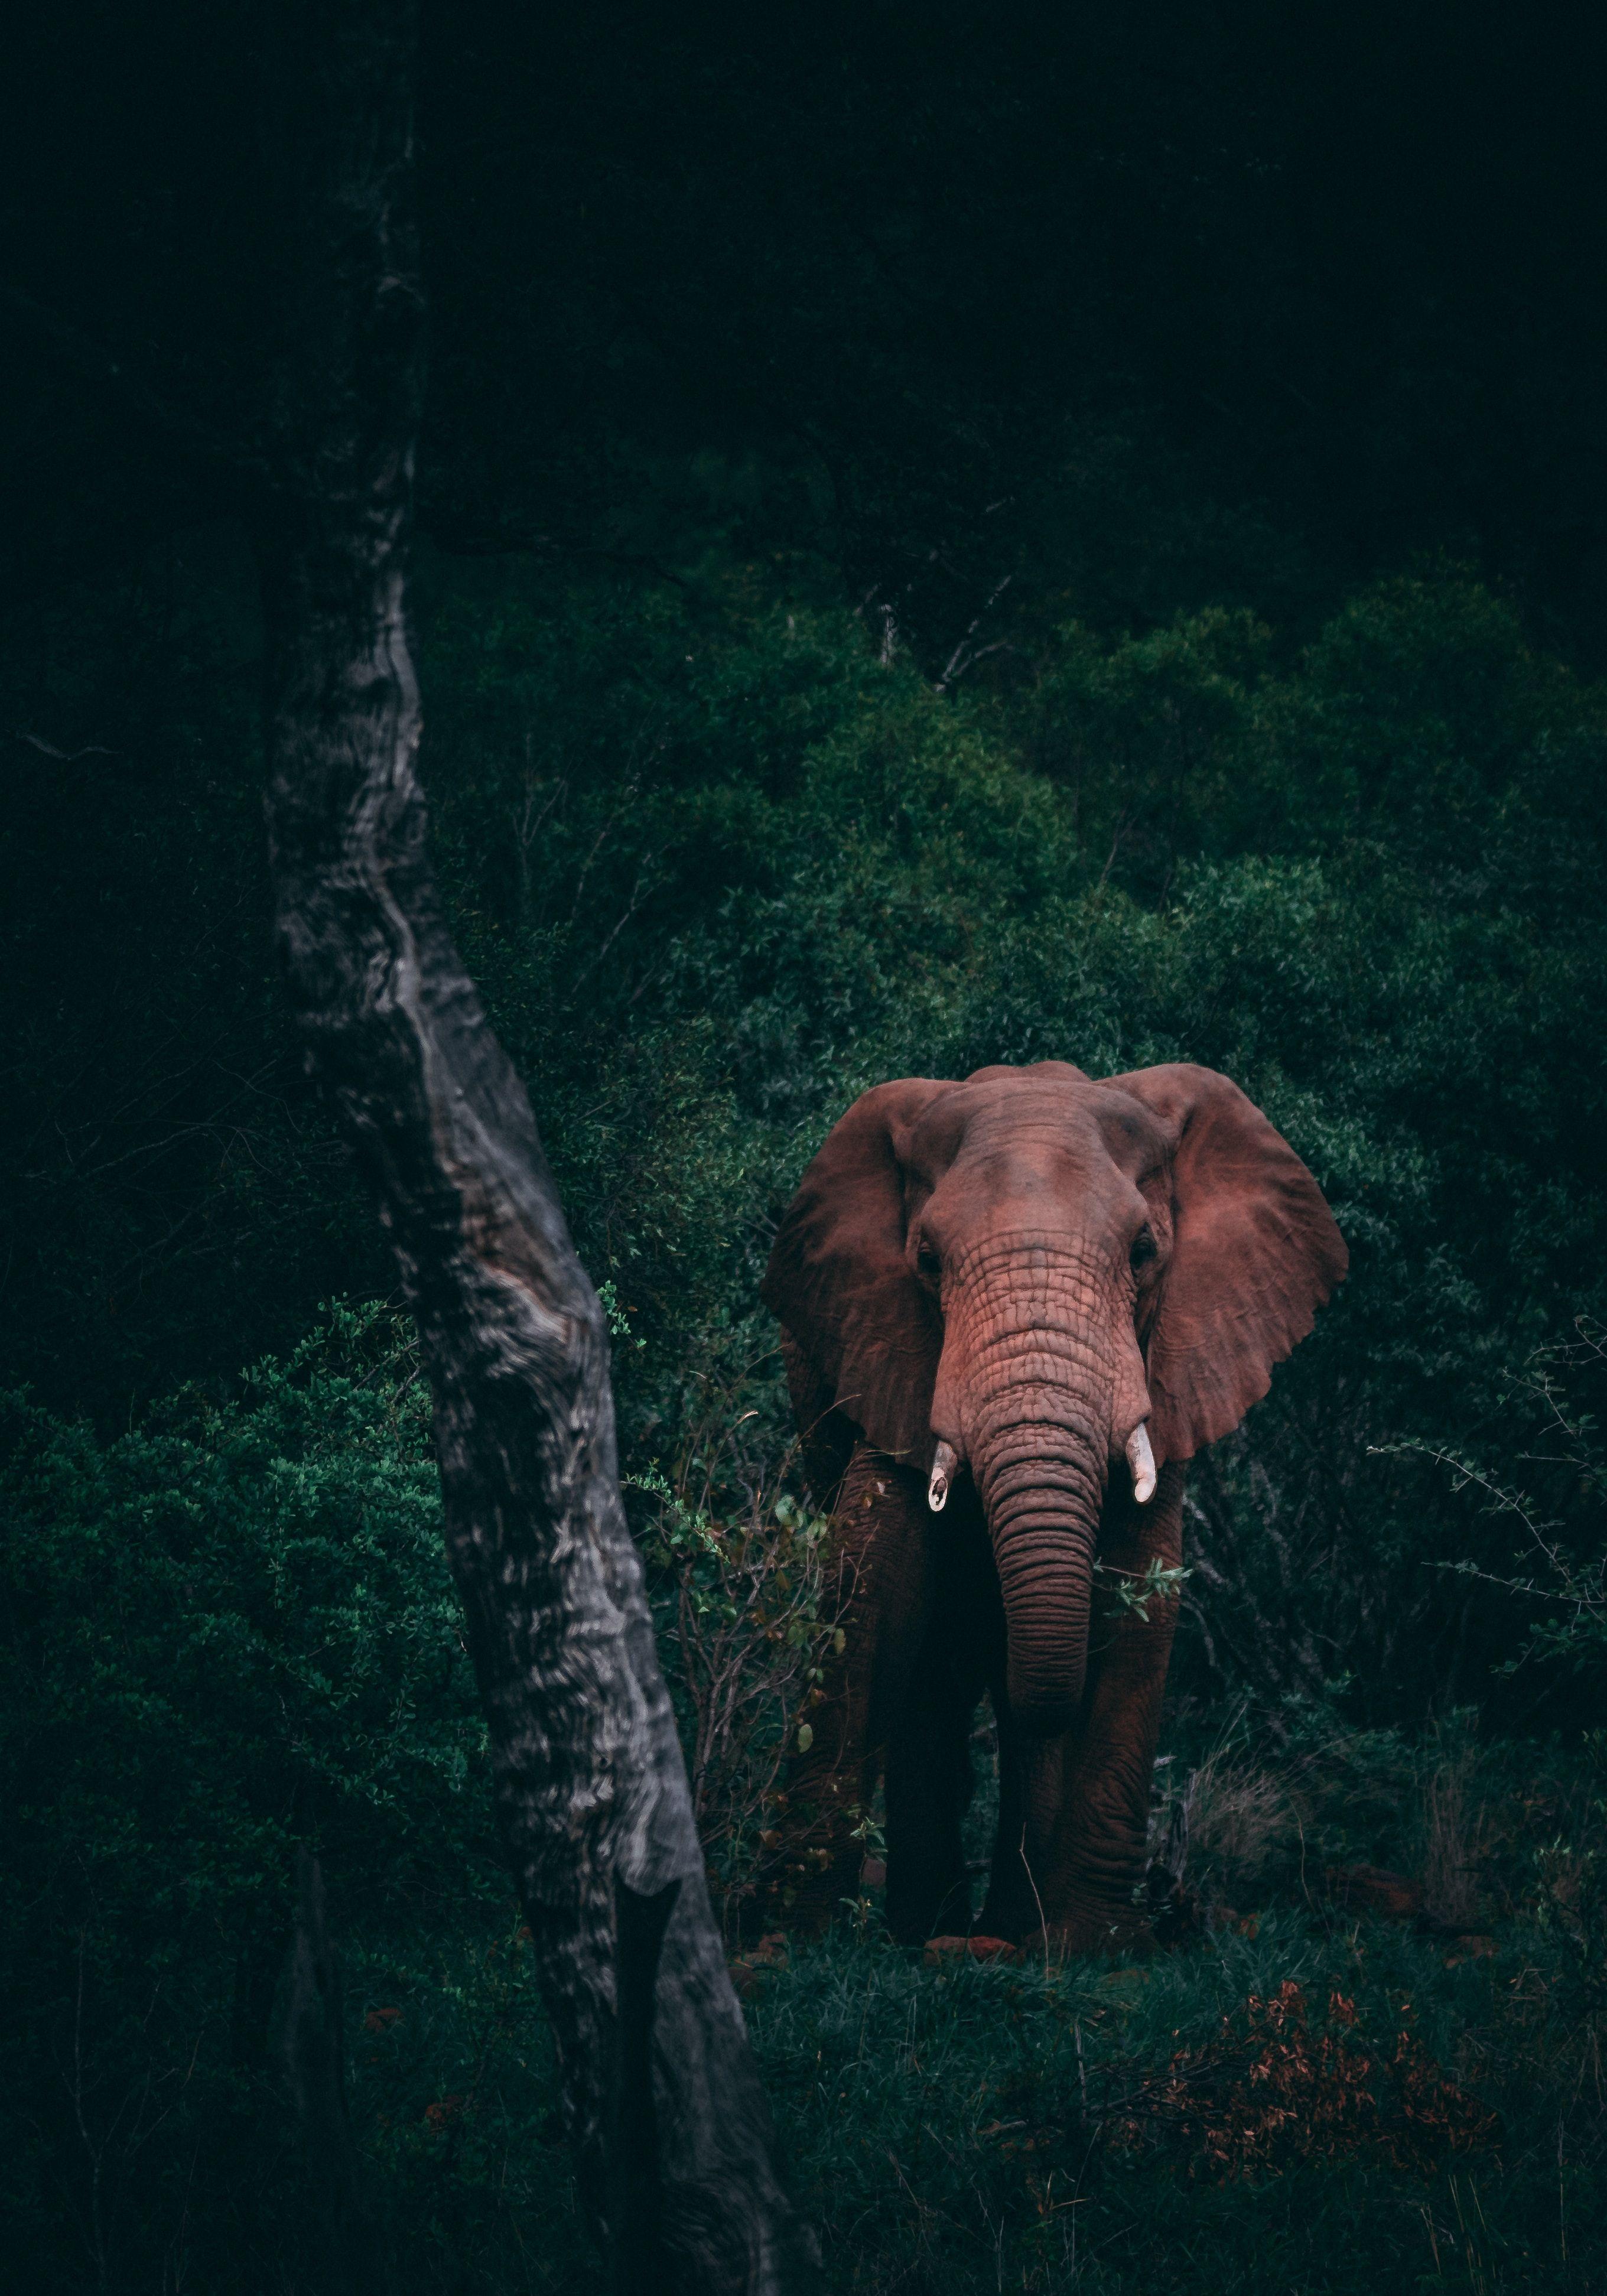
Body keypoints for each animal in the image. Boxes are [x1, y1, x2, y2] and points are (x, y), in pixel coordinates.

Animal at [761, 1059, 1346, 1954]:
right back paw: (933, 1928)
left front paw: (1096, 1947)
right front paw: (788, 1935)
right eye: (925, 1258)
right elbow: (876, 1590)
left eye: (1143, 1252)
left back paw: (999, 1928)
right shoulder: (883, 1348)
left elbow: (1141, 1596)